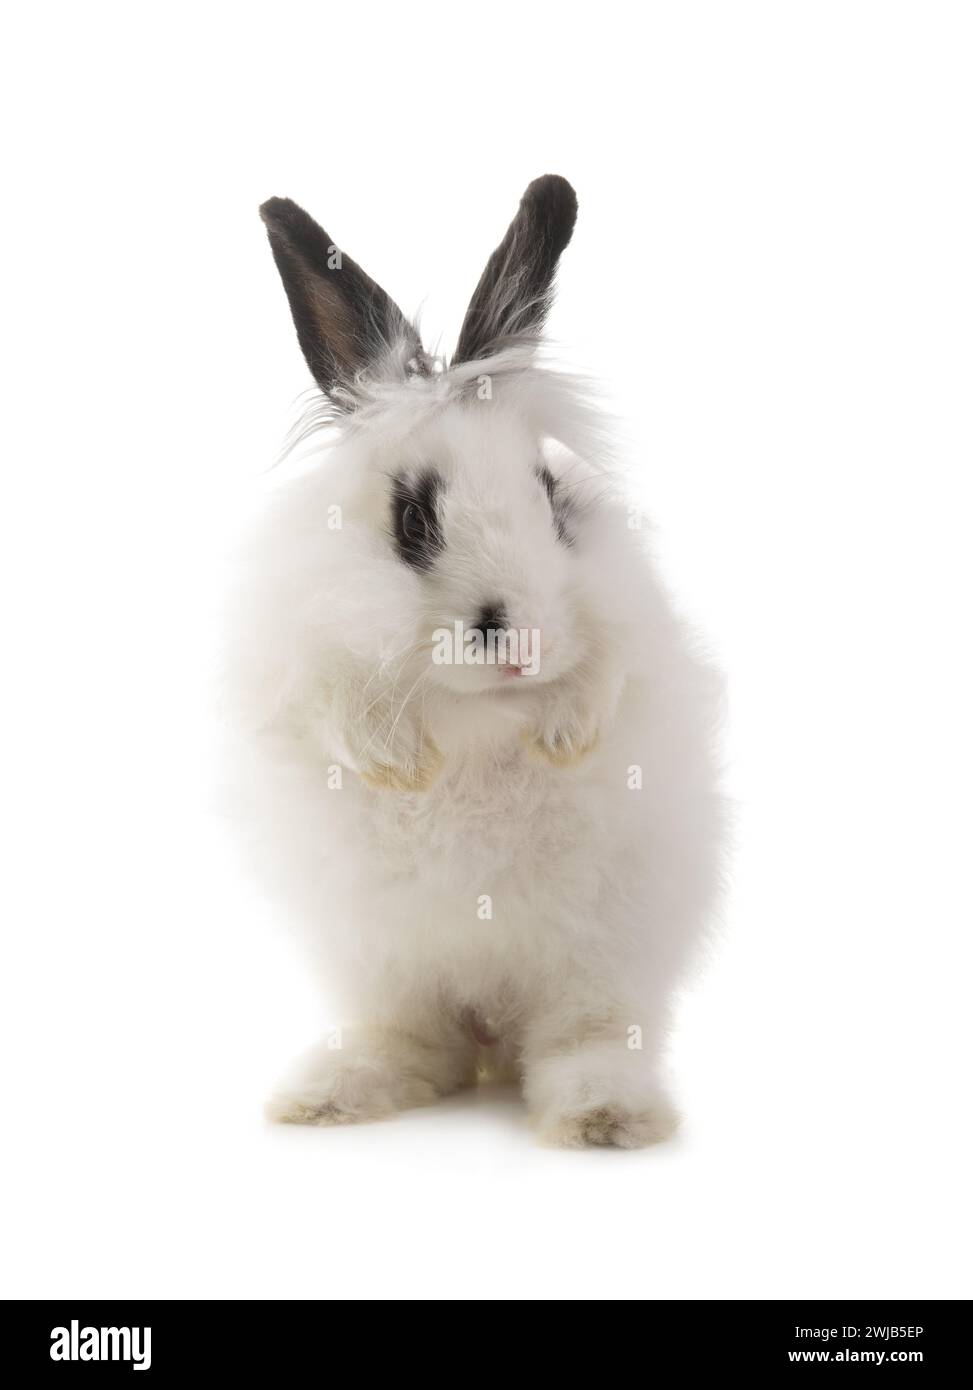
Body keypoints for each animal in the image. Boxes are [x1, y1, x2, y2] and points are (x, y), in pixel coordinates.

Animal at [225, 175, 727, 1148]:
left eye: (552, 499)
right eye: (413, 519)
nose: (523, 644)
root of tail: (495, 1025)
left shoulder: (624, 617)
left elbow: (609, 671)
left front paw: (563, 740)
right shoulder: (302, 658)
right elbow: (337, 713)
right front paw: (401, 767)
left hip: (597, 962)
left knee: (578, 1040)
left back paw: (603, 1114)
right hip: (382, 965)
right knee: (421, 1046)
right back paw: (329, 1093)